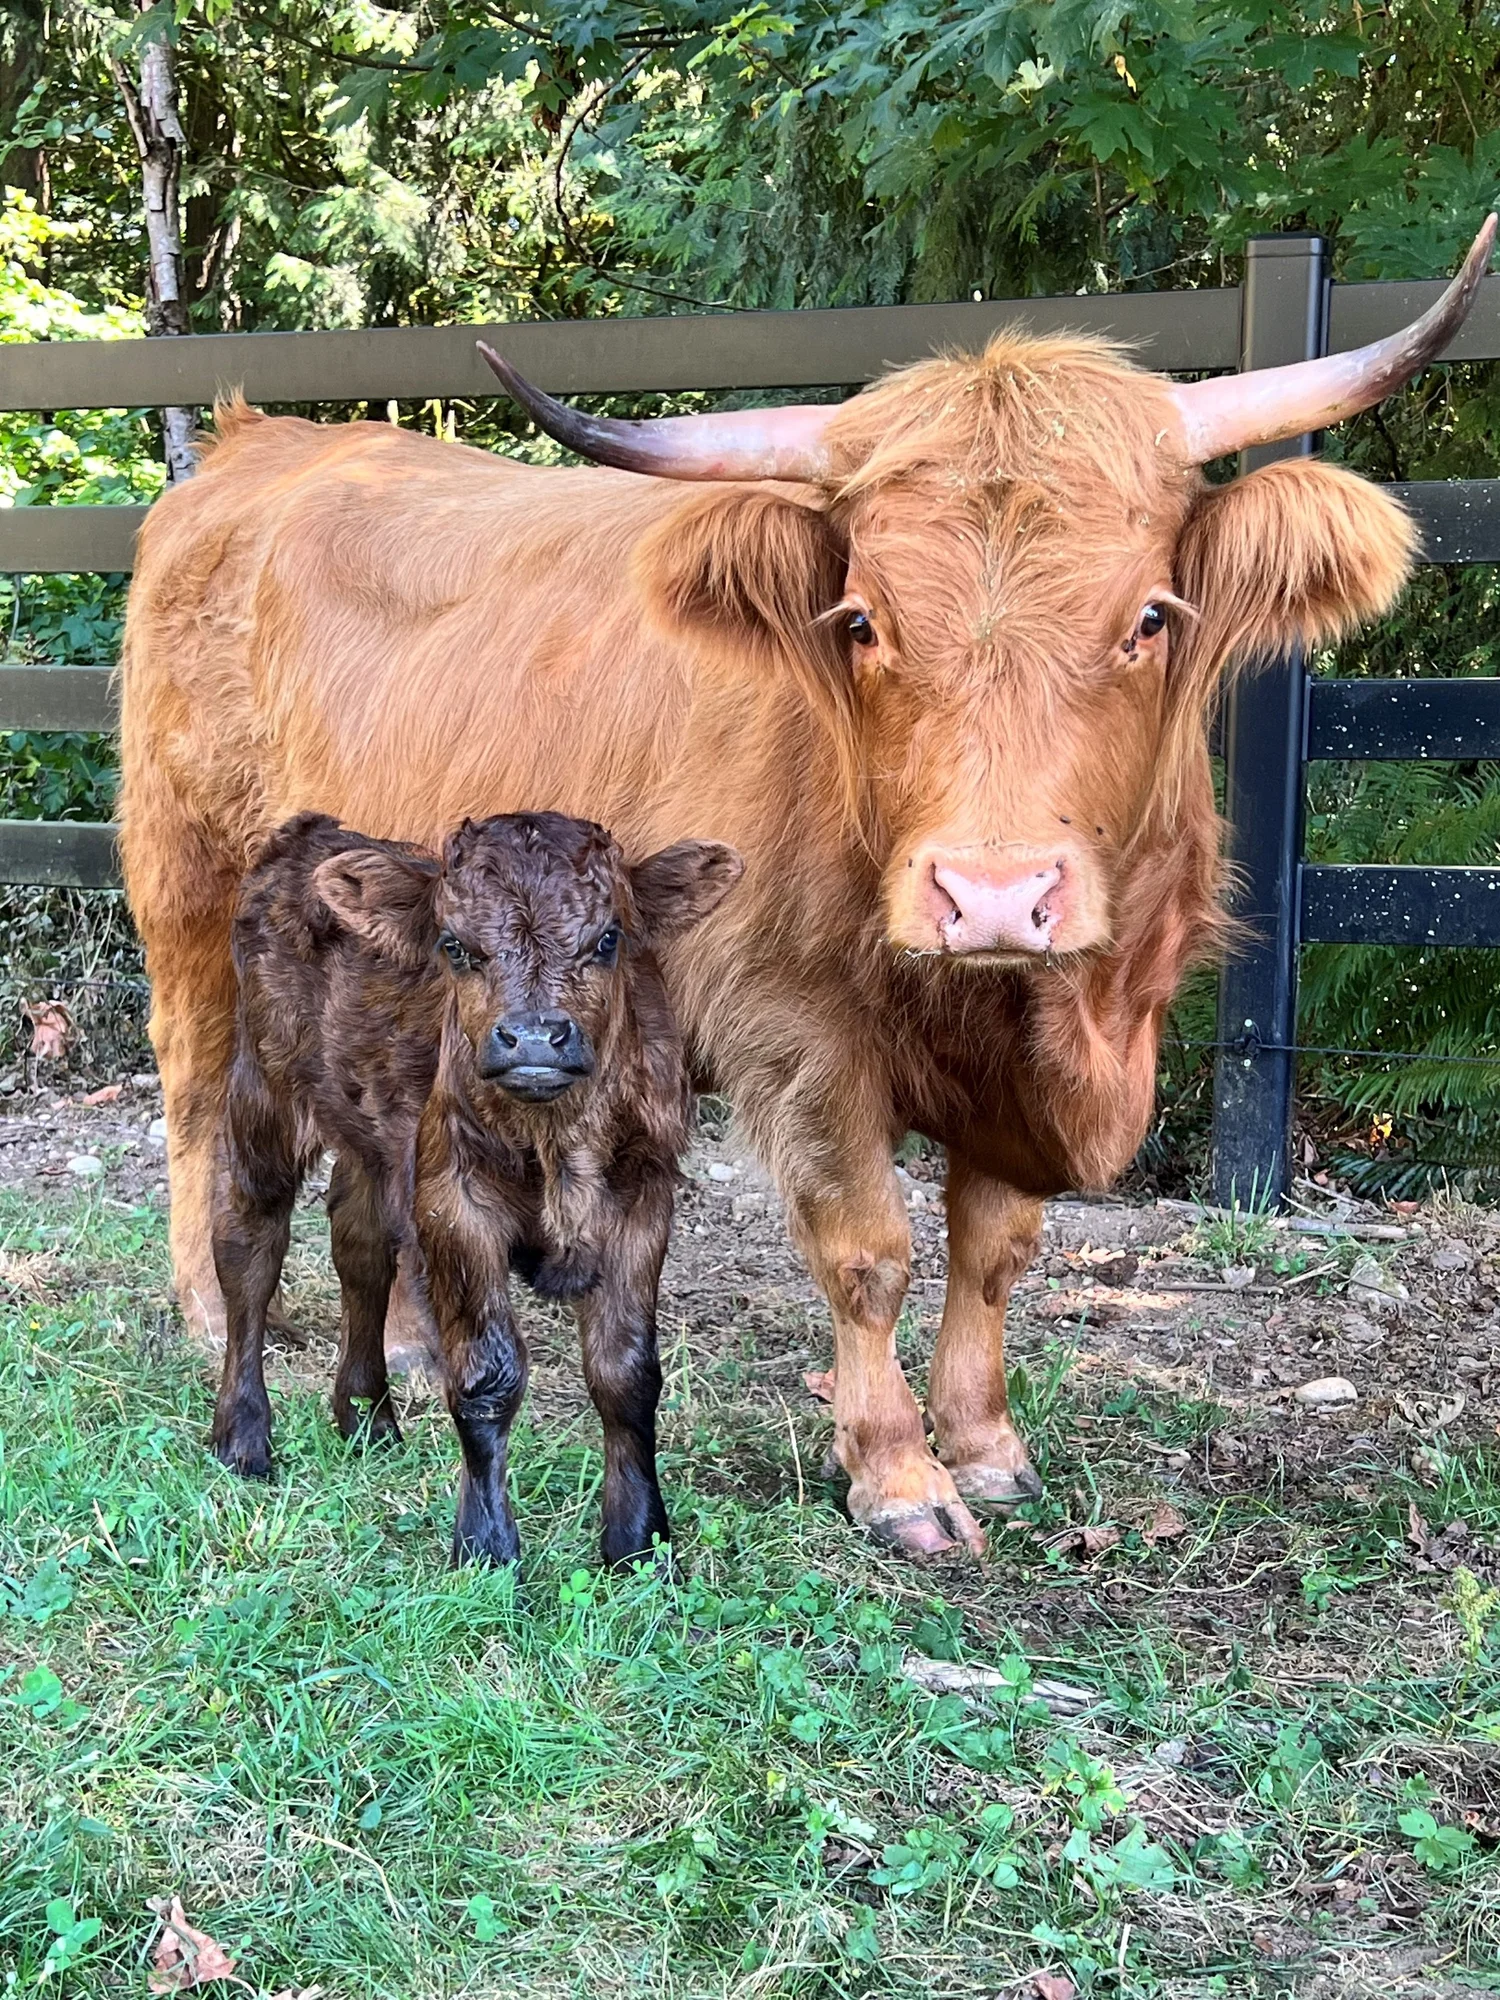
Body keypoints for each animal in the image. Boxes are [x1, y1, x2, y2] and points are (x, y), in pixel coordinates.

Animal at [210, 808, 741, 1566]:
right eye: (455, 947)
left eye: (608, 939)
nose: (534, 1038)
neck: (557, 1143)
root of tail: (309, 833)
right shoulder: (453, 1205)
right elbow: (488, 1375)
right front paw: (487, 1547)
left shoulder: (642, 1201)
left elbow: (627, 1374)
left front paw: (639, 1541)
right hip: (264, 1095)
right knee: (249, 1245)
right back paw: (244, 1437)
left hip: (375, 1141)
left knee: (359, 1244)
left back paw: (367, 1421)